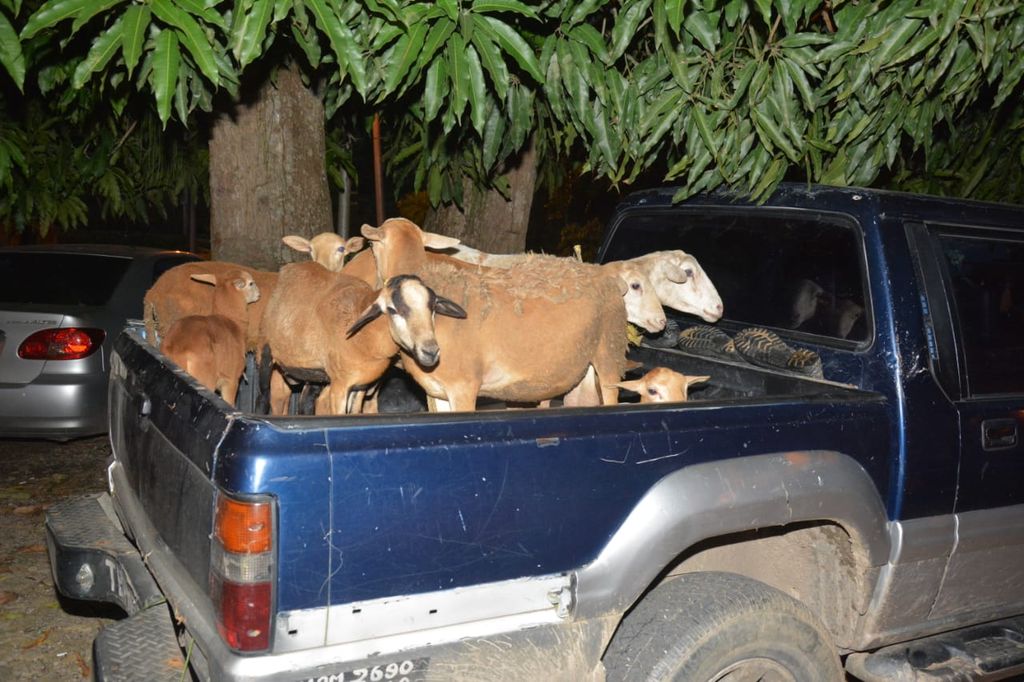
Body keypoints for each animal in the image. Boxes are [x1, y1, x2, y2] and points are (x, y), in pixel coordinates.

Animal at [161, 270, 260, 406]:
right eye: (251, 283)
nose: (259, 294)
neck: (233, 322)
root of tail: (177, 350)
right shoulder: (231, 381)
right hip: (206, 379)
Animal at [260, 261, 466, 415]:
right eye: (392, 309)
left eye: (433, 307)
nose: (430, 352)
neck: (365, 337)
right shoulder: (340, 386)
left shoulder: (360, 386)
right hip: (266, 356)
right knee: (265, 398)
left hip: (310, 374)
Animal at [360, 218, 633, 411]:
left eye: (371, 245)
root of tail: (611, 279)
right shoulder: (437, 392)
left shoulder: (463, 387)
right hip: (582, 372)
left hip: (609, 354)